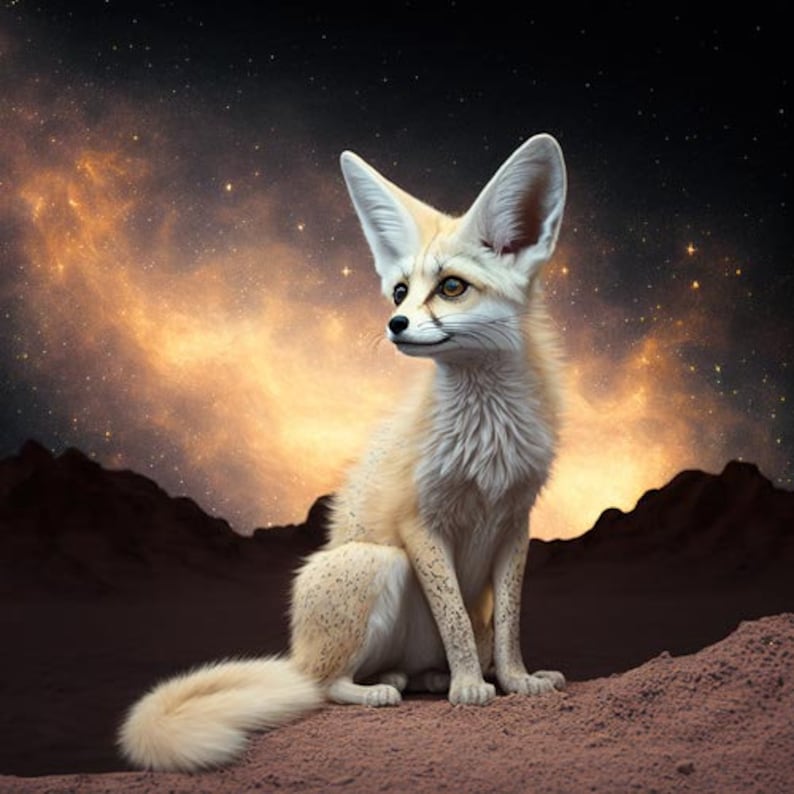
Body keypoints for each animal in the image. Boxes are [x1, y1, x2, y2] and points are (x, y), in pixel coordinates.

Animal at [118, 132, 568, 772]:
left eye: (452, 287)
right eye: (401, 290)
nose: (395, 323)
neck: (488, 438)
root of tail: (297, 655)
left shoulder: (516, 521)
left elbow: (505, 622)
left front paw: (515, 680)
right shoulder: (420, 524)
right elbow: (456, 619)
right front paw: (469, 687)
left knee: (410, 663)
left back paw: (421, 678)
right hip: (379, 563)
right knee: (326, 686)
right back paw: (382, 689)